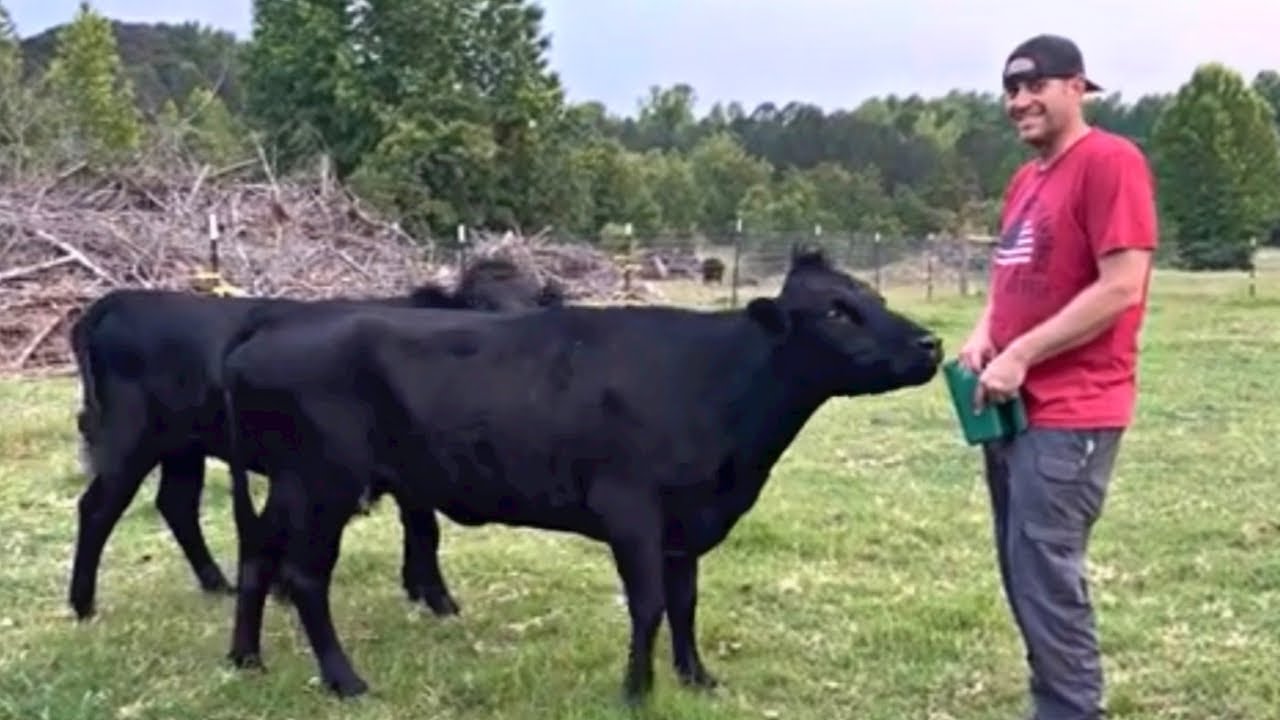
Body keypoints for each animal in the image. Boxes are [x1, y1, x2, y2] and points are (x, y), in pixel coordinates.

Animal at [67, 257, 563, 622]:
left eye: (537, 305)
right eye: (478, 304)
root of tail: (117, 301)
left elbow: (419, 528)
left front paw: (417, 589)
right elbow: (426, 529)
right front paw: (439, 600)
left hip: (184, 446)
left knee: (177, 503)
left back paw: (218, 583)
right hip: (130, 438)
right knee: (98, 508)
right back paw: (82, 604)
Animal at [218, 246, 943, 704]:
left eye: (874, 297)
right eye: (836, 312)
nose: (930, 344)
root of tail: (268, 327)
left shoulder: (685, 521)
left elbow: (685, 602)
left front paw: (696, 678)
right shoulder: (632, 509)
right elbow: (648, 605)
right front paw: (636, 691)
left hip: (289, 484)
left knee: (257, 555)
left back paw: (246, 658)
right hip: (323, 483)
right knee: (305, 577)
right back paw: (345, 680)